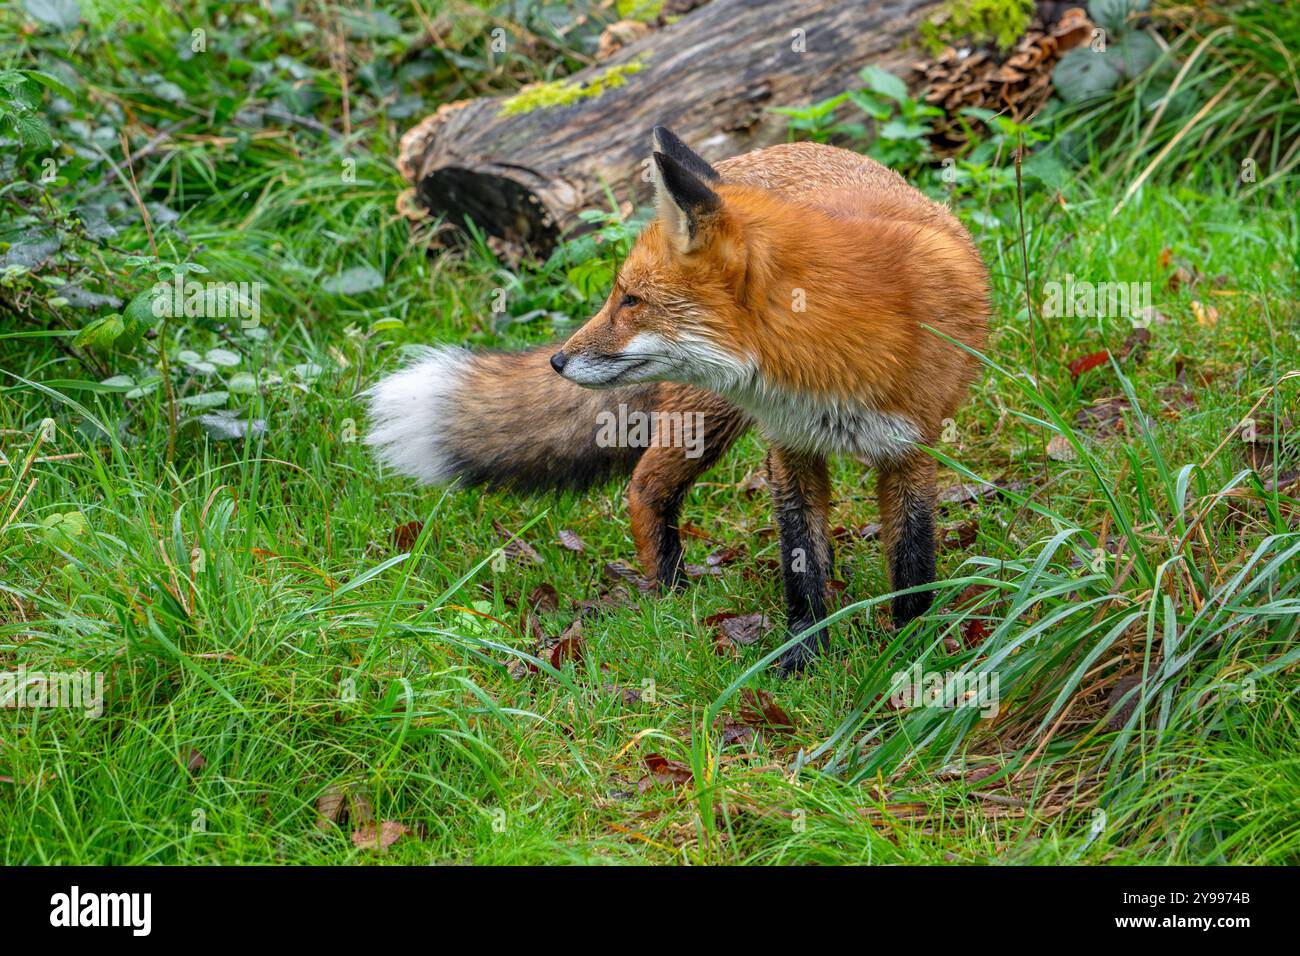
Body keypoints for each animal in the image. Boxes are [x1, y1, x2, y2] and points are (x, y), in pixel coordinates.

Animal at [366, 127, 989, 674]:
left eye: (632, 300)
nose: (558, 362)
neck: (827, 358)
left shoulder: (912, 449)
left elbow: (913, 559)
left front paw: (909, 652)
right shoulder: (788, 449)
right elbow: (802, 564)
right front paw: (803, 657)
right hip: (706, 418)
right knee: (643, 487)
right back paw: (671, 596)